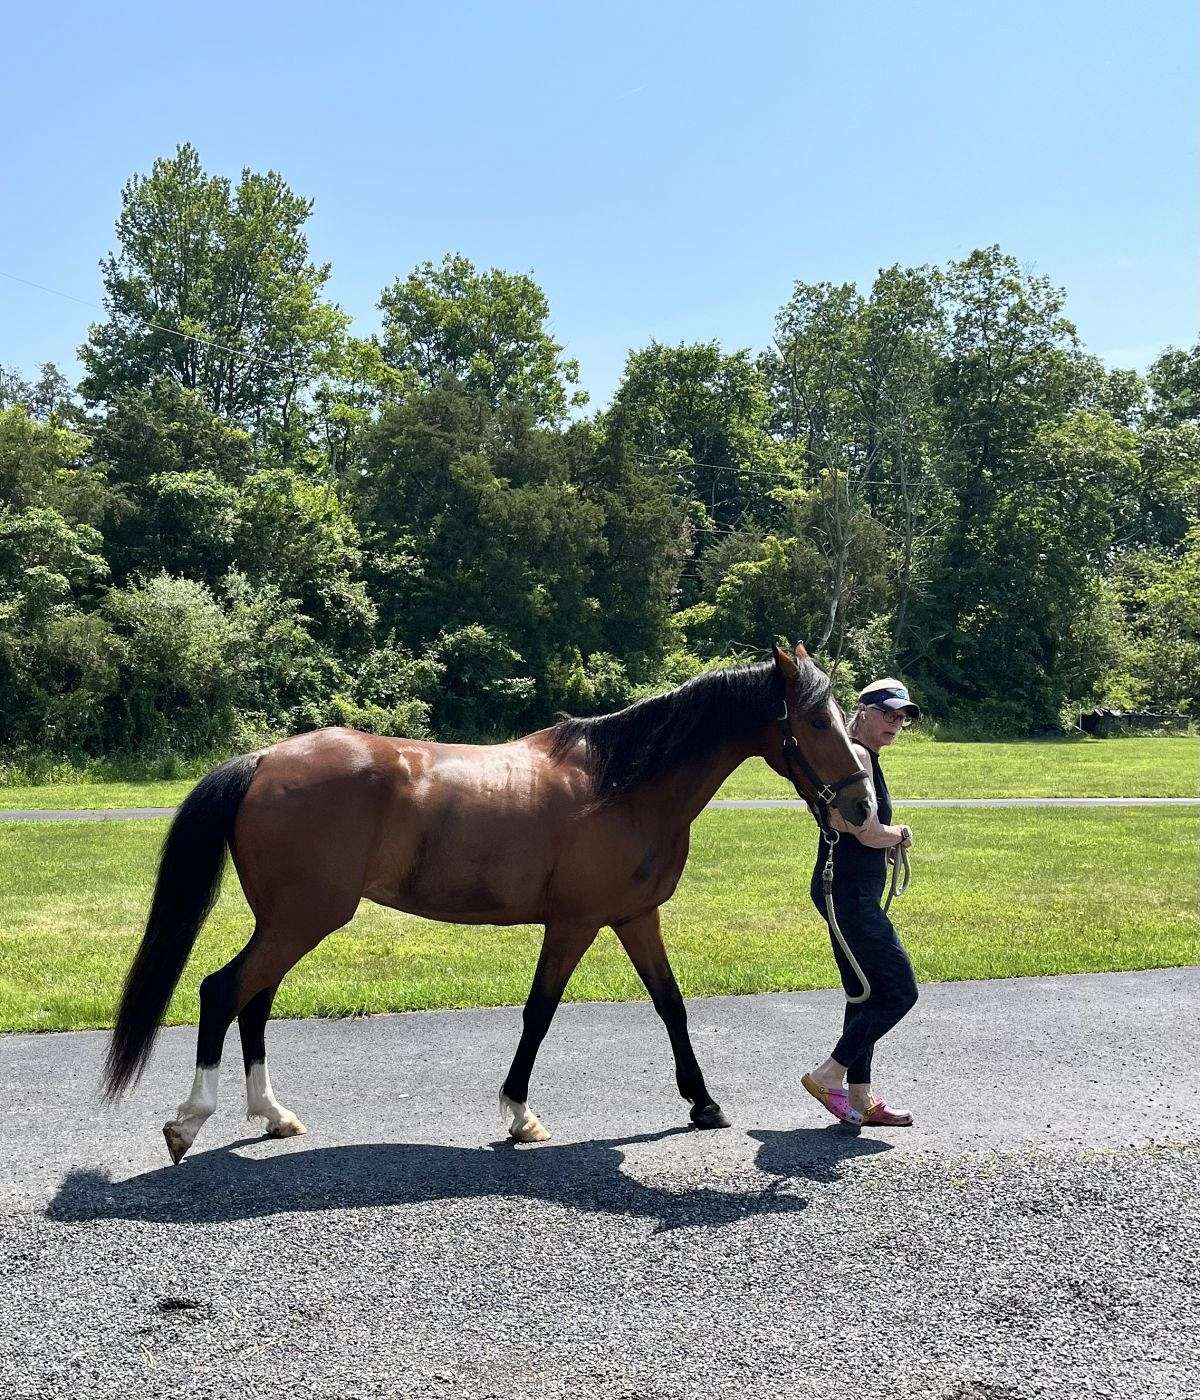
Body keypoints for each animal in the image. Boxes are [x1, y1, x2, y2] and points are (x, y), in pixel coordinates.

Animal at [102, 643, 872, 1164]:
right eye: (816, 722)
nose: (863, 807)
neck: (623, 785)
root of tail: (263, 761)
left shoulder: (633, 917)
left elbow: (672, 1006)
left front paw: (703, 1103)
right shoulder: (574, 923)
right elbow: (539, 1014)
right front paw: (519, 1114)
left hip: (287, 922)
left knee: (252, 1002)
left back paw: (272, 1114)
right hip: (301, 920)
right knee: (221, 990)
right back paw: (189, 1120)